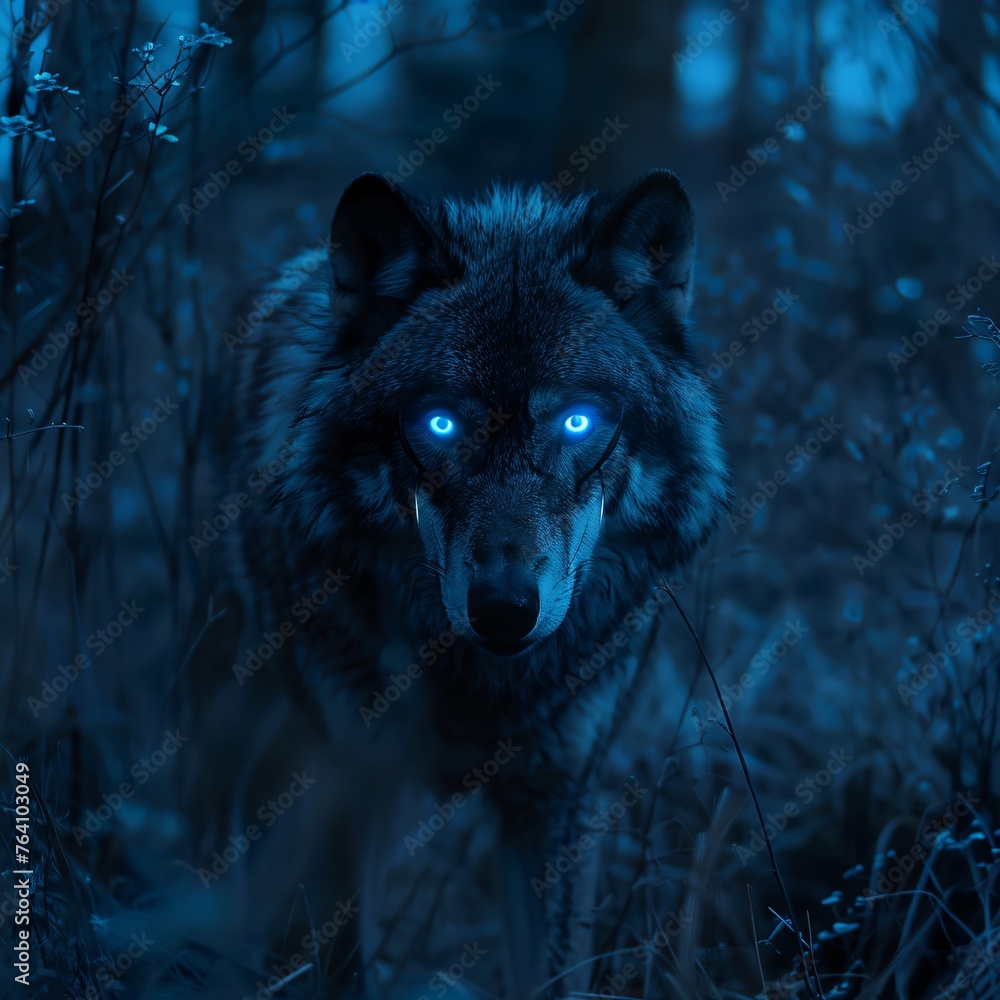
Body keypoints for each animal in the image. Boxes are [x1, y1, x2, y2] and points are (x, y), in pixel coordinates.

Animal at [228, 169, 728, 997]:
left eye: (578, 423)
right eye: (440, 425)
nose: (503, 610)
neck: (474, 686)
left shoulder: (557, 804)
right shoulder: (350, 782)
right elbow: (344, 964)